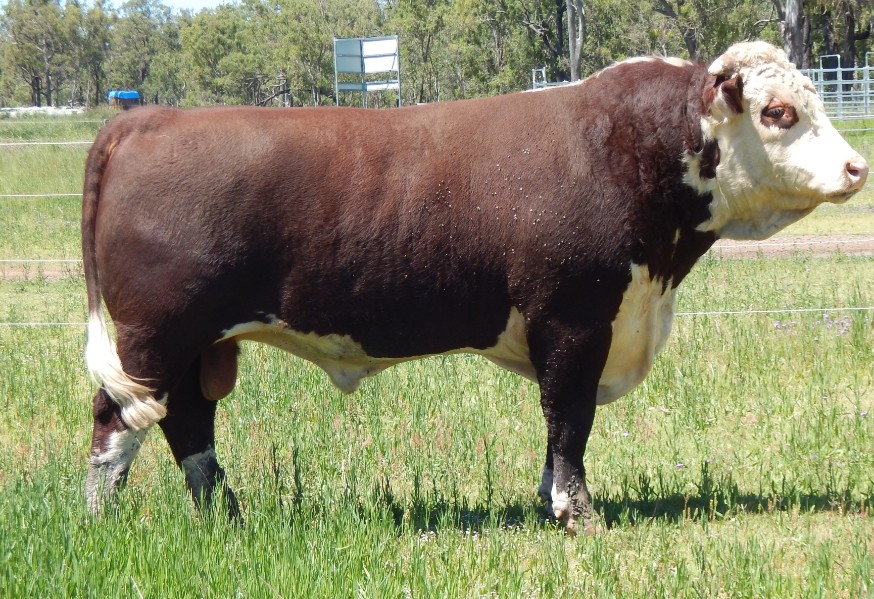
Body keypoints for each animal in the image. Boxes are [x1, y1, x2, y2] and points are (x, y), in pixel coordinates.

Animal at [82, 42, 867, 535]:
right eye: (778, 113)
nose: (858, 167)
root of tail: (146, 118)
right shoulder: (575, 319)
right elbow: (569, 418)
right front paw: (579, 514)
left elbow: (558, 430)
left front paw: (550, 500)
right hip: (155, 334)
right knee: (117, 419)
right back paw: (100, 519)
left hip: (195, 344)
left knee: (186, 421)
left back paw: (227, 514)